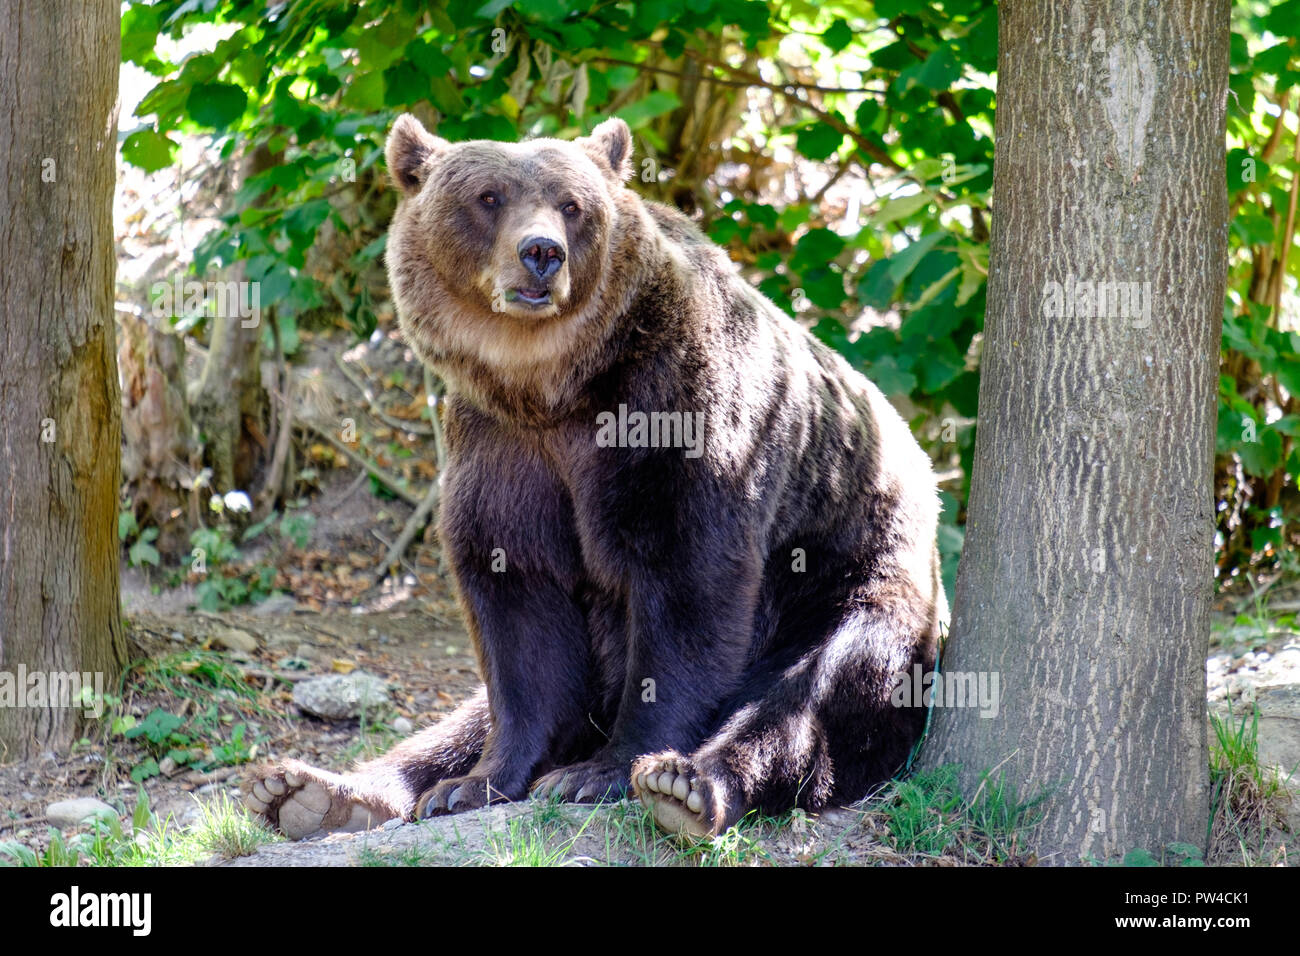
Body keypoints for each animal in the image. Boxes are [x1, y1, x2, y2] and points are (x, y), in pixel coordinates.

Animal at [243, 113, 948, 840]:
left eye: (572, 205)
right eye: (489, 196)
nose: (541, 253)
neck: (555, 389)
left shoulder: (673, 418)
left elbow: (689, 585)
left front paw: (602, 772)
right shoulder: (502, 446)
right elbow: (518, 612)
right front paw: (477, 782)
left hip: (859, 583)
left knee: (816, 689)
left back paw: (691, 784)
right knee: (457, 720)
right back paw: (311, 789)